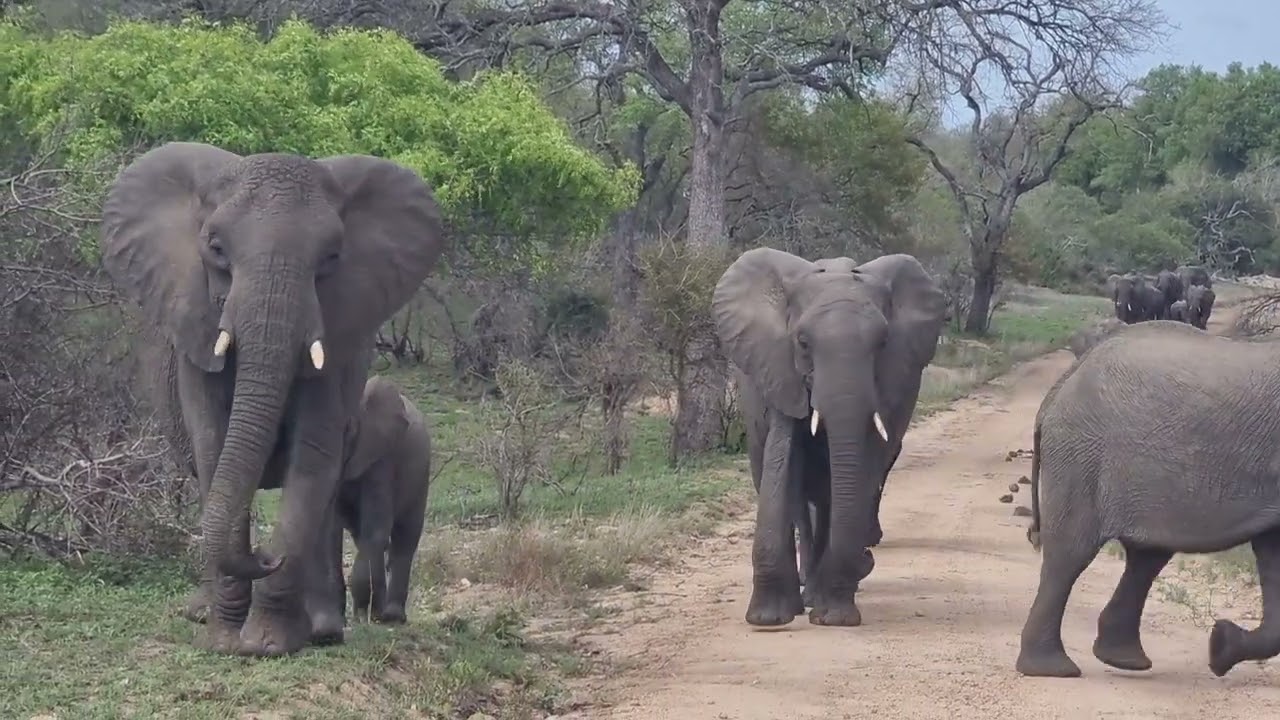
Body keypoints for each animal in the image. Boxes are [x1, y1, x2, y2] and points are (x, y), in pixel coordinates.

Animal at [335, 375, 432, 625]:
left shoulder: (381, 455)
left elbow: (375, 531)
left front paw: (363, 617)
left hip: (421, 475)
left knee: (405, 538)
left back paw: (391, 617)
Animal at [713, 249, 946, 628]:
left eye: (883, 343)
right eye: (803, 343)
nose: (869, 558)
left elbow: (861, 468)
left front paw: (832, 617)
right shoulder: (780, 372)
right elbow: (782, 460)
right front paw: (768, 620)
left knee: (828, 495)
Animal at [1016, 319, 1280, 679]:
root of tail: (1061, 386)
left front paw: (1221, 646)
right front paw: (1221, 645)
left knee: (1146, 557)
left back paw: (1128, 660)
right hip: (1080, 458)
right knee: (1070, 555)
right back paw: (1053, 670)